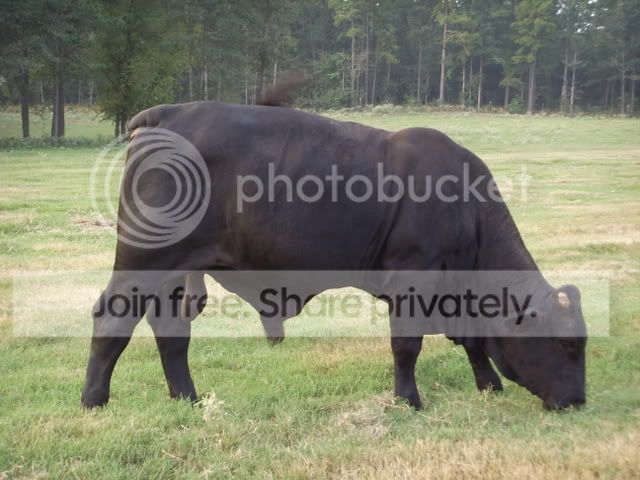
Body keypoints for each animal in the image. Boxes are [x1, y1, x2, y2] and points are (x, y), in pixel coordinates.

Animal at [81, 85, 587, 411]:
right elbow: (407, 345)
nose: (577, 401)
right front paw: (409, 399)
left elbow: (474, 342)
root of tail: (167, 113)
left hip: (173, 271)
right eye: (565, 343)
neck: (468, 209)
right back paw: (94, 400)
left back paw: (187, 397)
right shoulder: (413, 279)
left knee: (170, 330)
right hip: (143, 262)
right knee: (113, 318)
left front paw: (488, 385)